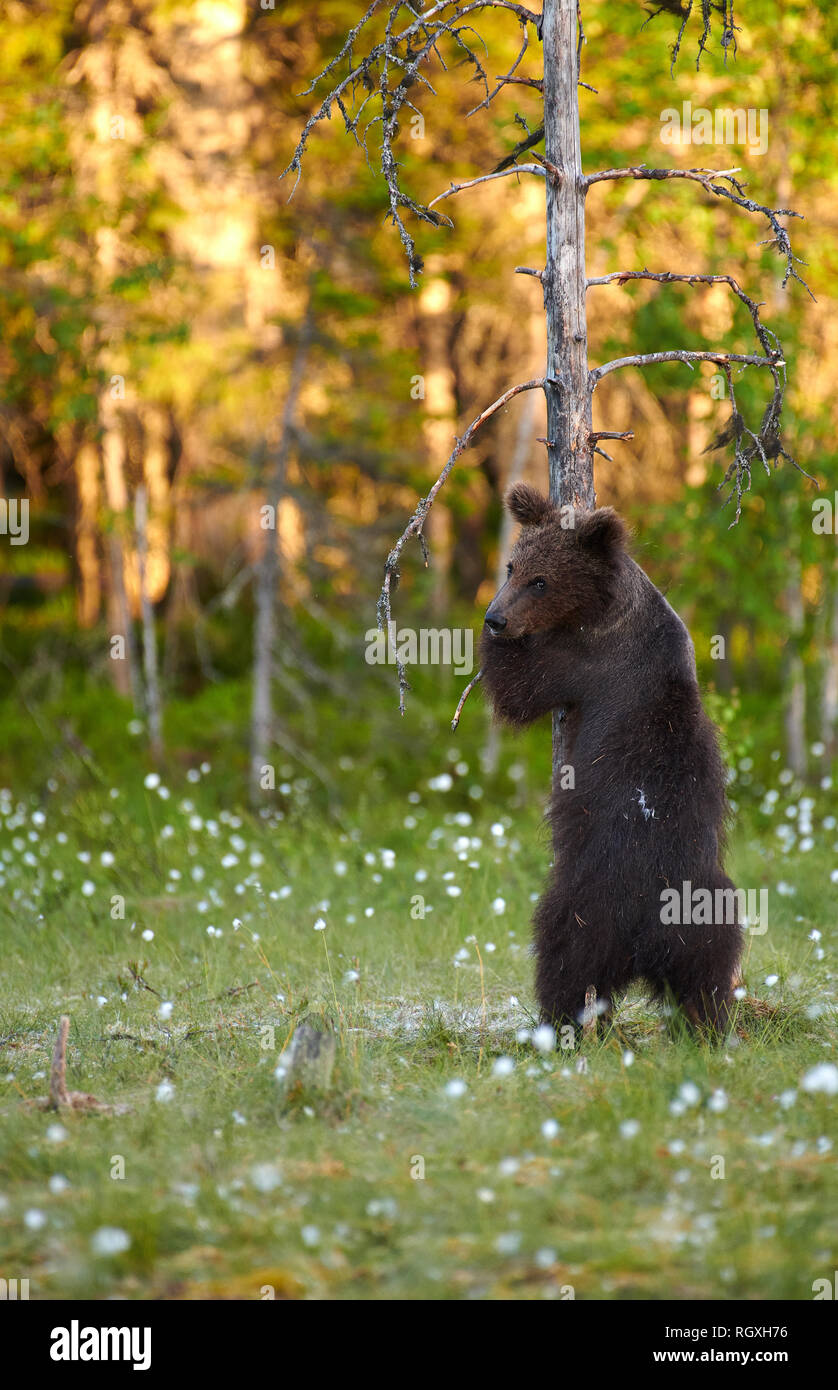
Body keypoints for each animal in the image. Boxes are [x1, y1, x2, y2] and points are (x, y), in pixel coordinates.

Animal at [480, 482, 742, 1035]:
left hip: (590, 902)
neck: (605, 607)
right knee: (710, 966)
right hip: (708, 905)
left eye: (540, 580)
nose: (495, 618)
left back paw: (558, 1023)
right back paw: (709, 1023)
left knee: (564, 954)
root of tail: (649, 936)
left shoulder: (585, 661)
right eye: (513, 566)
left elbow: (520, 689)